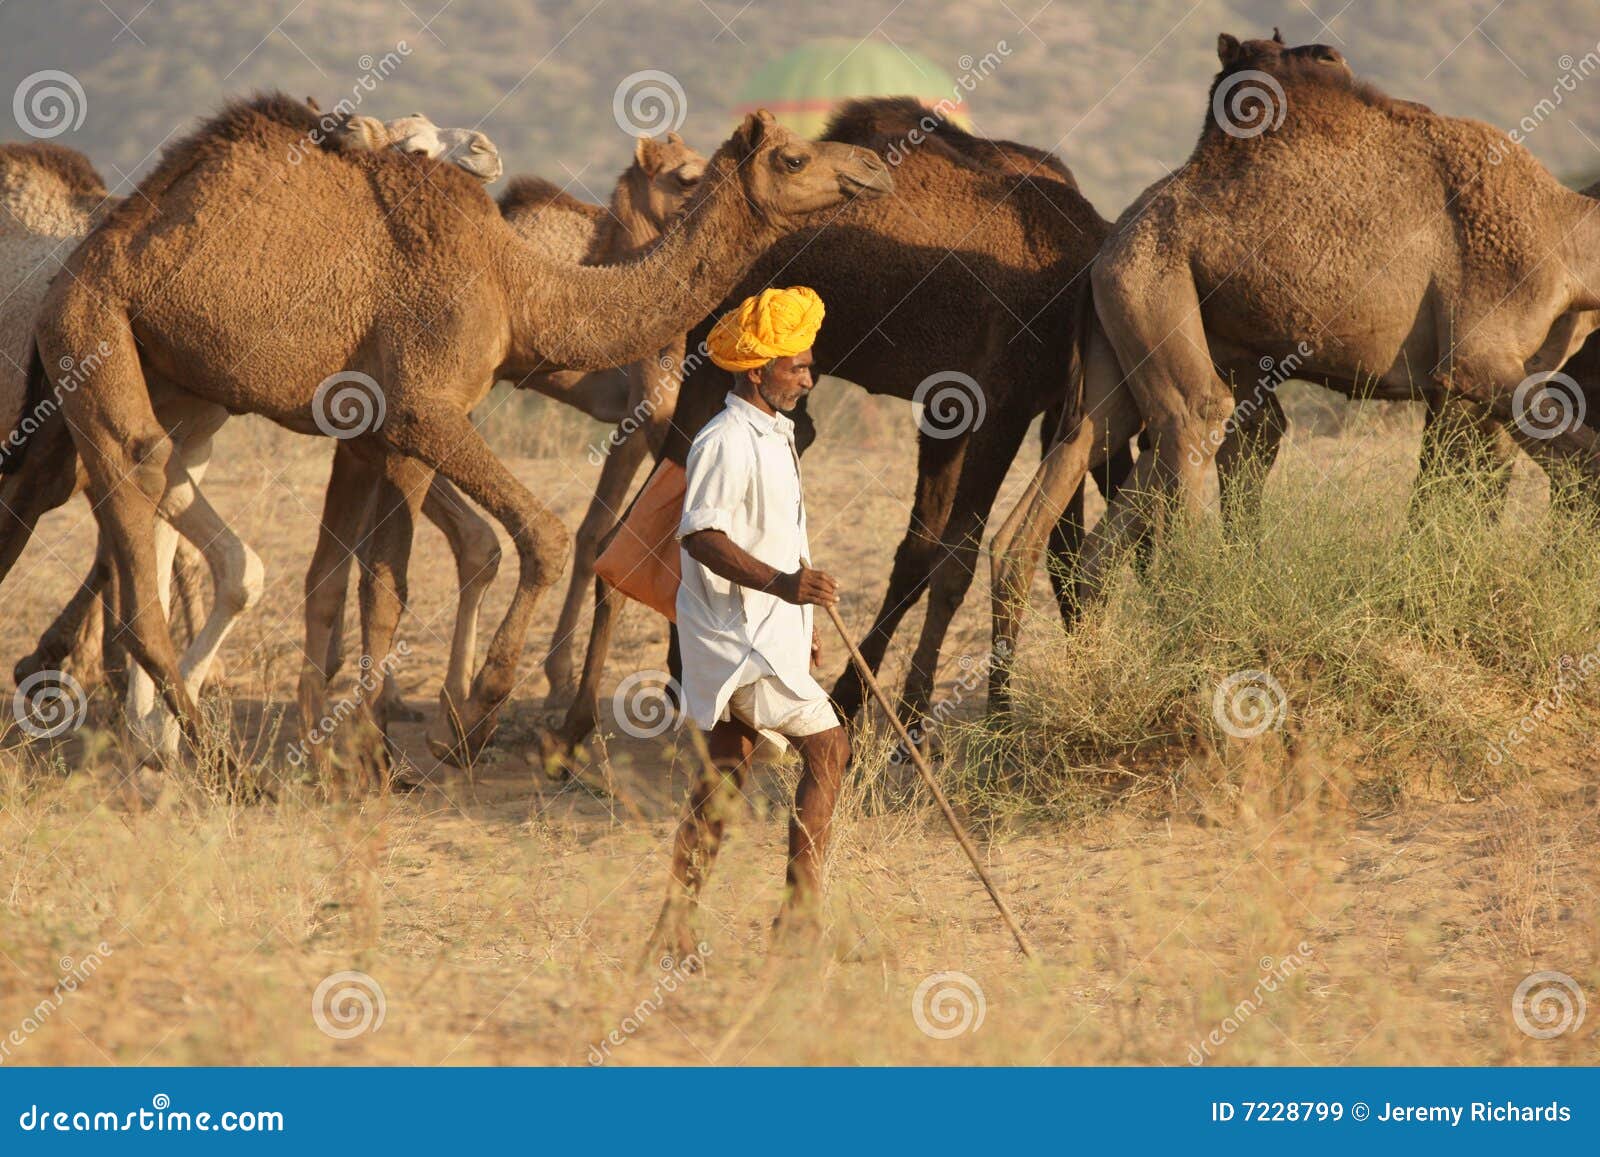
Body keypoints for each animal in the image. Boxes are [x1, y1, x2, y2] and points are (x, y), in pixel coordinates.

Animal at [6, 93, 889, 783]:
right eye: (794, 156)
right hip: (92, 332)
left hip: (157, 375)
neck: (520, 283)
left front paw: (370, 752)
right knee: (133, 481)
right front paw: (474, 718)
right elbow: (541, 534)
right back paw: (207, 758)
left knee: (101, 489)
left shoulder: (386, 431)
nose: (873, 168)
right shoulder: (425, 409)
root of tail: (82, 254)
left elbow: (378, 586)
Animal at [550, 97, 1110, 760]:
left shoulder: (997, 404)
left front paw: (876, 706)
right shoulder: (1002, 401)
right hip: (712, 359)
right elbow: (956, 561)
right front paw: (921, 727)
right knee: (646, 521)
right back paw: (595, 719)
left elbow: (958, 553)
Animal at [988, 31, 1600, 701]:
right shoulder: (1474, 356)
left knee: (1065, 509)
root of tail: (1108, 244)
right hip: (1153, 290)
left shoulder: (1507, 373)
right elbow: (1582, 465)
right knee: (1192, 435)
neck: (1565, 236)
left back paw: (1027, 708)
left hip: (1121, 340)